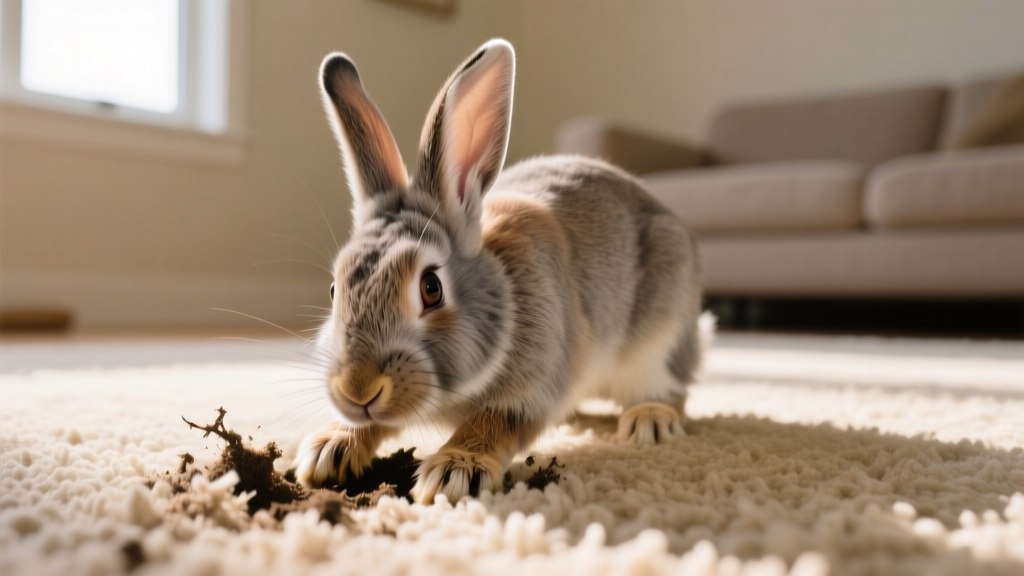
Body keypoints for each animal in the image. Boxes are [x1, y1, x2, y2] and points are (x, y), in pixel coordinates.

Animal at [292, 38, 706, 504]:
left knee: (673, 389)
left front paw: (455, 470)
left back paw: (648, 420)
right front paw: (328, 449)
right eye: (333, 289)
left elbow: (494, 422)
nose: (358, 389)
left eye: (431, 288)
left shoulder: (533, 384)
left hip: (660, 337)